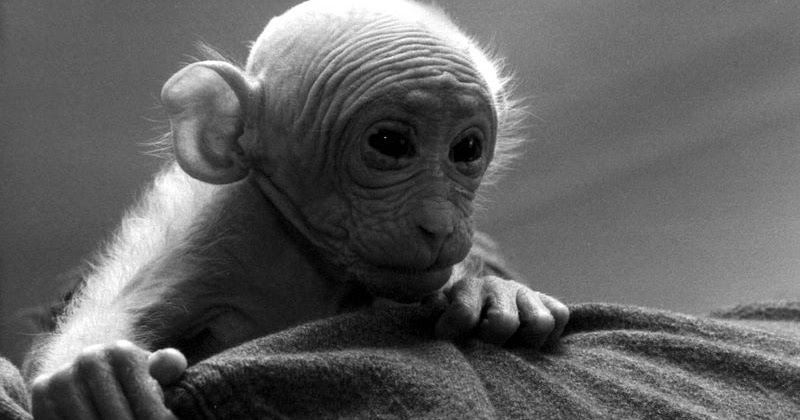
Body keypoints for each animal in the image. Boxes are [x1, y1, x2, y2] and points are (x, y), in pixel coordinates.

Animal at [27, 1, 570, 418]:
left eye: (467, 149)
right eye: (390, 143)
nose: (438, 222)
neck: (308, 258)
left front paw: (492, 291)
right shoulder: (218, 228)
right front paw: (93, 374)